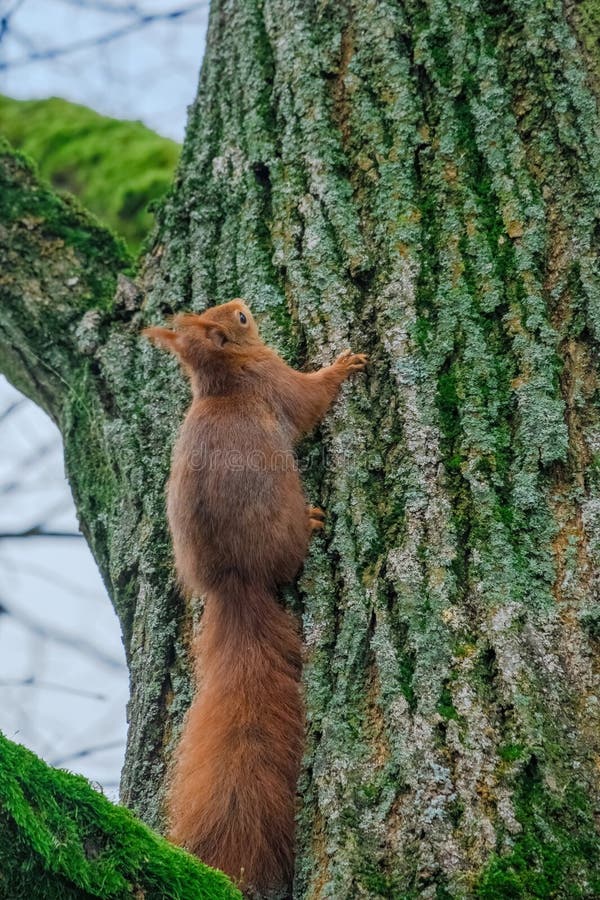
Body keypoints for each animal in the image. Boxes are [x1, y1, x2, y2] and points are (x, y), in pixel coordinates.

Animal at [142, 299, 367, 892]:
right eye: (239, 321)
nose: (245, 304)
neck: (225, 379)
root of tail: (234, 583)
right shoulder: (276, 383)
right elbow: (310, 399)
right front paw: (345, 365)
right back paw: (311, 523)